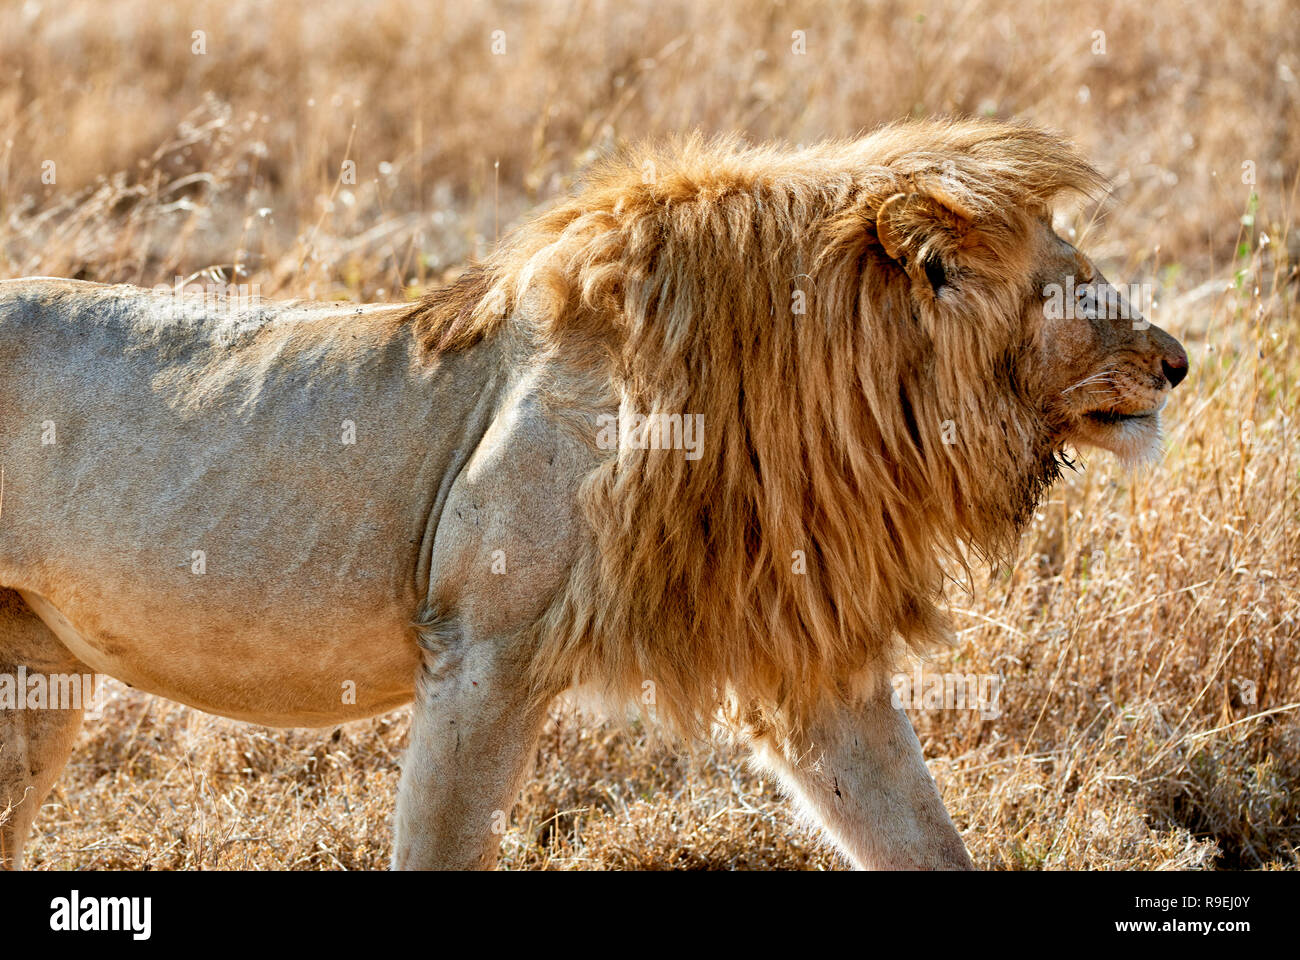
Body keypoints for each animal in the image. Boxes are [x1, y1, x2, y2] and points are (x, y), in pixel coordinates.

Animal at [0, 117, 1187, 870]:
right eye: (1076, 289)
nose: (1177, 365)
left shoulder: (811, 659)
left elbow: (919, 834)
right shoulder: (480, 653)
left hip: (34, 680)